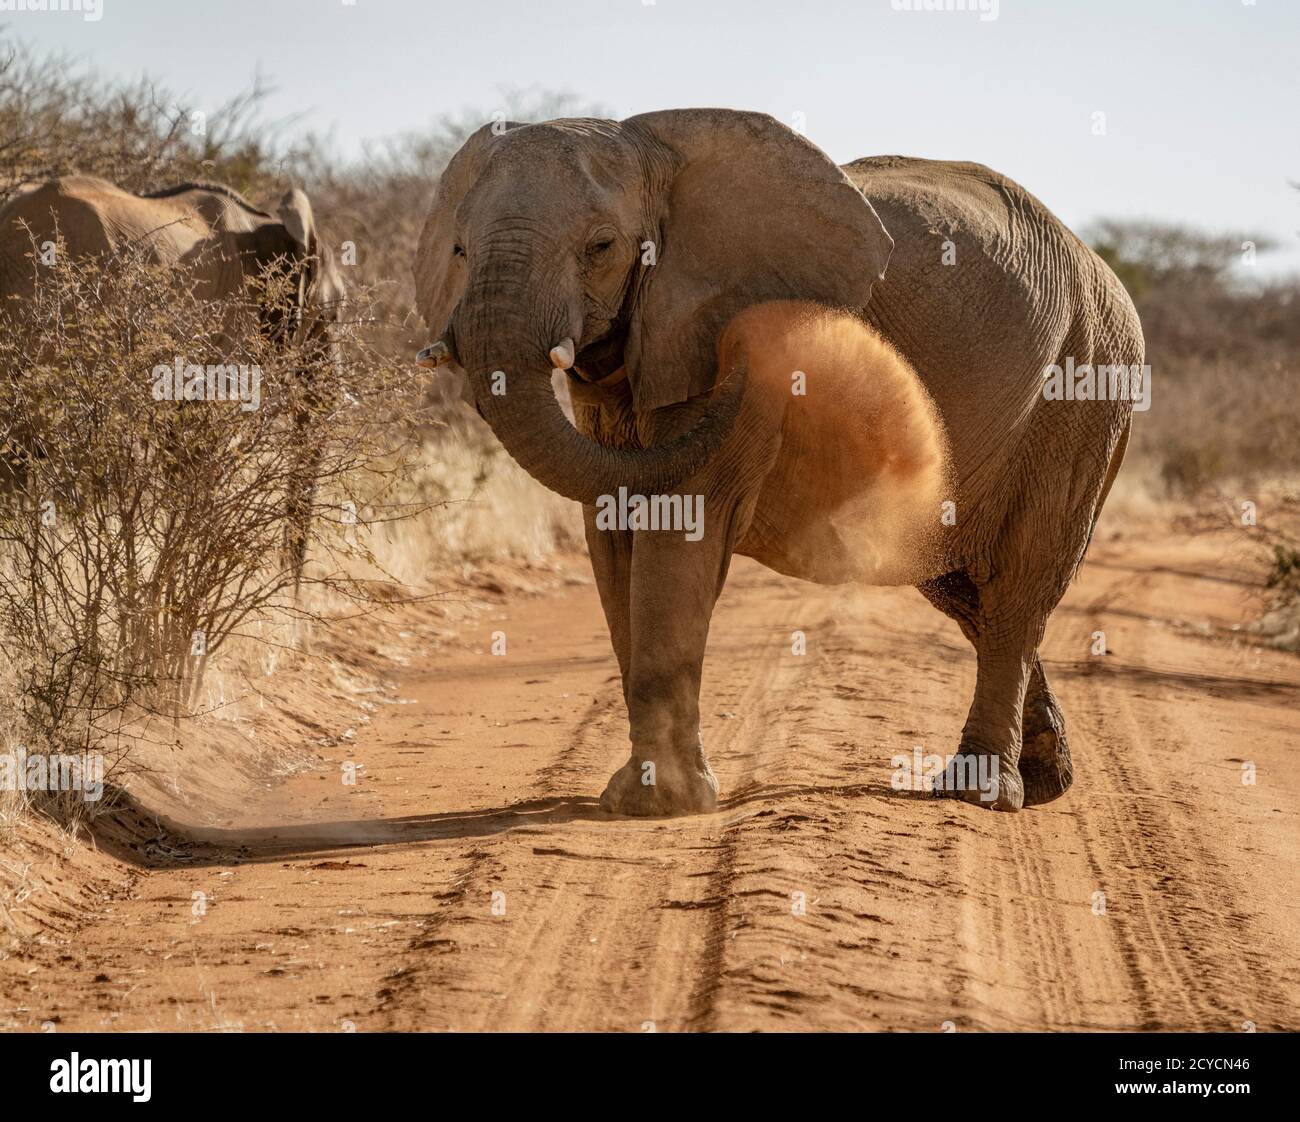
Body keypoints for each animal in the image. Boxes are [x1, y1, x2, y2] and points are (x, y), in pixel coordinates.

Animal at [412, 108, 1142, 815]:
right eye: (458, 250)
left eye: (601, 247)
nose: (754, 346)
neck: (650, 151)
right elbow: (612, 533)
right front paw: (642, 796)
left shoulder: (702, 344)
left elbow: (682, 523)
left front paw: (659, 804)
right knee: (963, 587)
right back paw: (1046, 779)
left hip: (1083, 388)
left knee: (1017, 586)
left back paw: (980, 794)